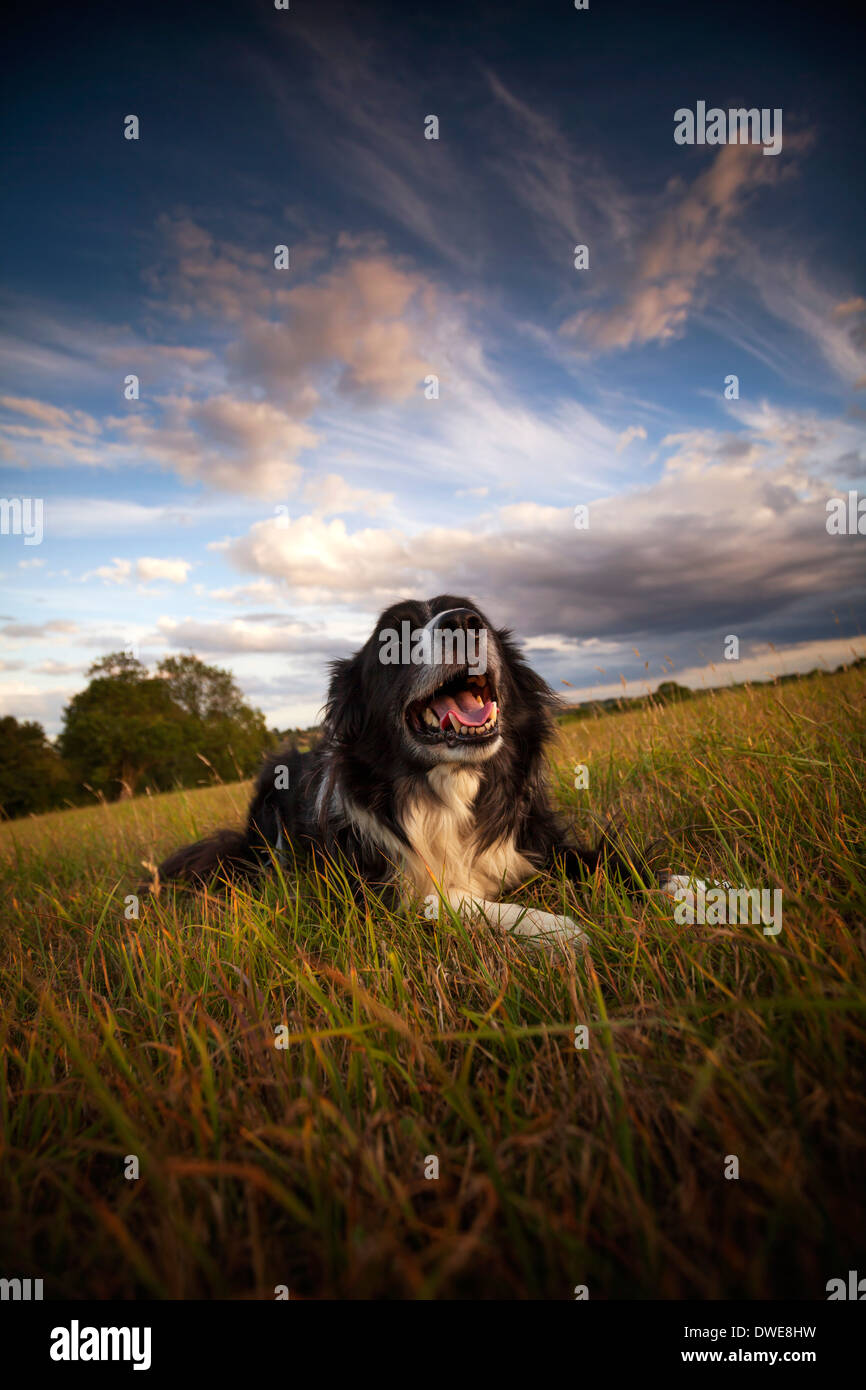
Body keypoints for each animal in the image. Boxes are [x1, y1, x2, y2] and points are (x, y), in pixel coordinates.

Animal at [155, 594, 647, 945]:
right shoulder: (378, 893)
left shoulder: (537, 842)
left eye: (480, 616)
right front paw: (562, 929)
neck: (450, 783)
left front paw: (667, 889)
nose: (464, 622)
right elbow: (455, 898)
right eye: (394, 638)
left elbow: (619, 862)